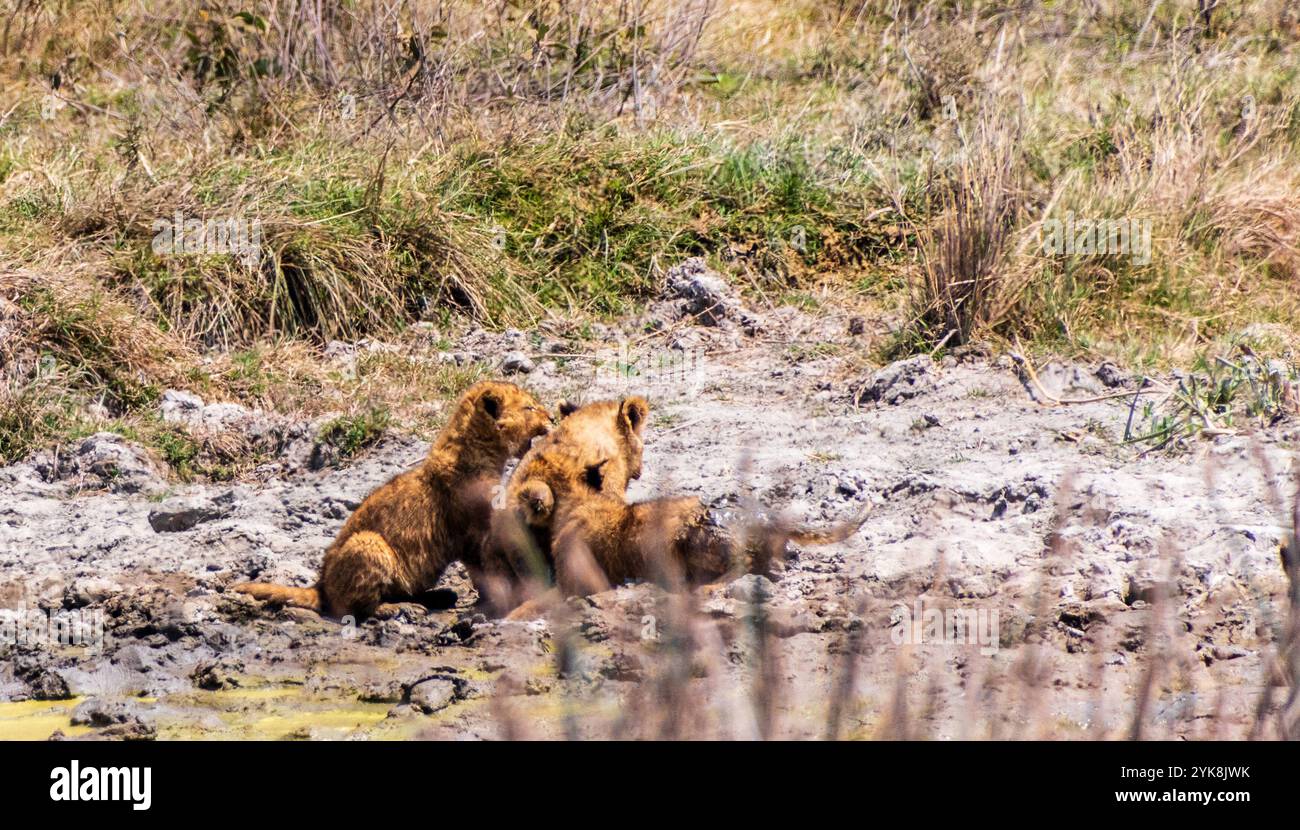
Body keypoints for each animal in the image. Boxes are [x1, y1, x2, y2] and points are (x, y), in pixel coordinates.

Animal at [233, 380, 553, 620]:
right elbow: (484, 570)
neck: (483, 455)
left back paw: (439, 596)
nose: (551, 417)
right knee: (351, 608)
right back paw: (400, 608)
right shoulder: (472, 532)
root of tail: (320, 584)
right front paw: (492, 601)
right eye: (529, 406)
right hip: (368, 542)